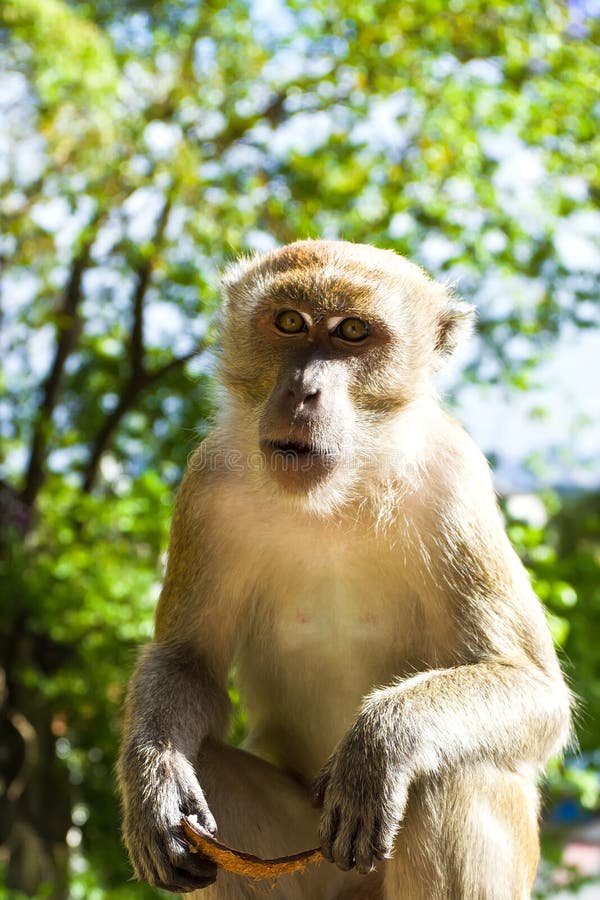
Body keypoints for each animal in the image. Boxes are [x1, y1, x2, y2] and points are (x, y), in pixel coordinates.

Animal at [118, 239, 571, 900]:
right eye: (289, 322)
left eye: (353, 332)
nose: (303, 390)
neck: (336, 493)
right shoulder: (207, 487)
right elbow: (187, 661)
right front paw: (154, 786)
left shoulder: (456, 484)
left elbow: (534, 688)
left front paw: (381, 743)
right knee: (214, 770)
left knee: (456, 772)